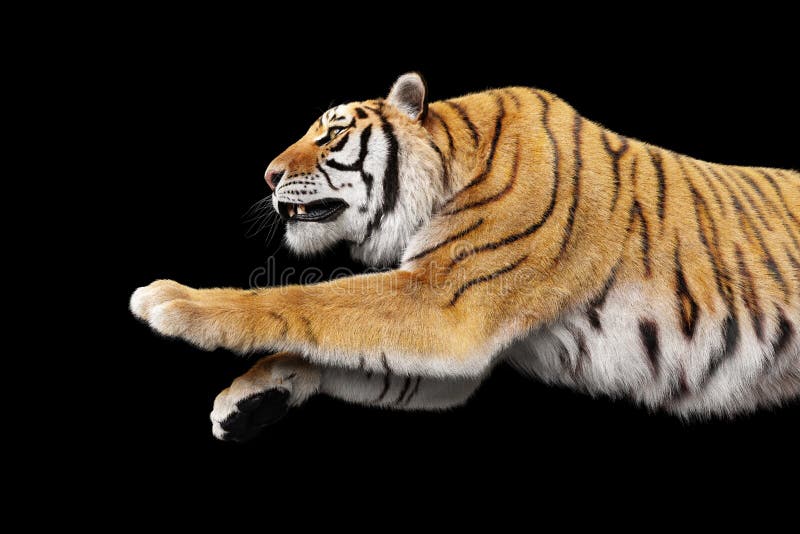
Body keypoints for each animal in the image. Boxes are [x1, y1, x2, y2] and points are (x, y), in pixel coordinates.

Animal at [130, 72, 800, 442]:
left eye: (332, 133)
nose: (267, 176)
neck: (455, 161)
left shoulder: (444, 300)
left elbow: (307, 300)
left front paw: (172, 301)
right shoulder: (449, 341)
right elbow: (329, 344)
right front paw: (251, 399)